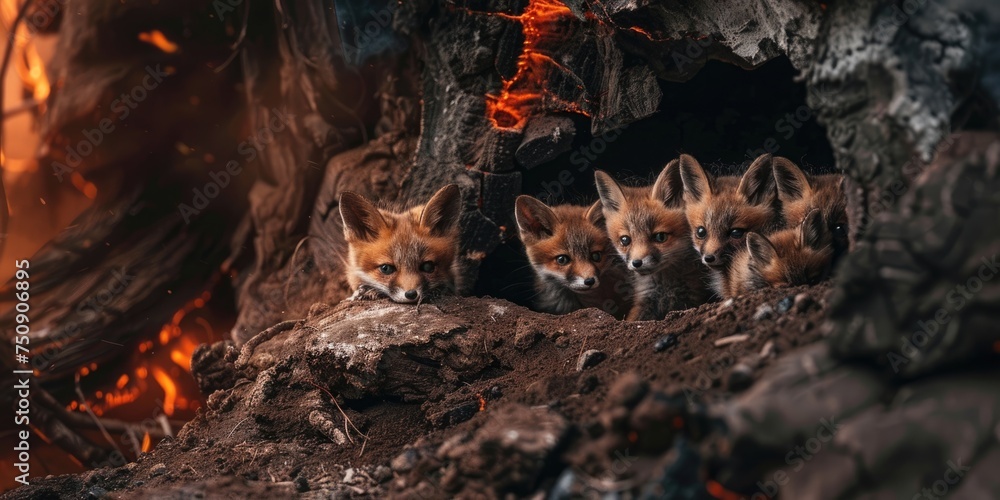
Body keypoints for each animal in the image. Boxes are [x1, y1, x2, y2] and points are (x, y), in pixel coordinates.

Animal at [594, 162, 710, 321]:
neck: (665, 288)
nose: (637, 263)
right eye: (625, 240)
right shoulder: (644, 302)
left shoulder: (692, 297)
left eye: (660, 237)